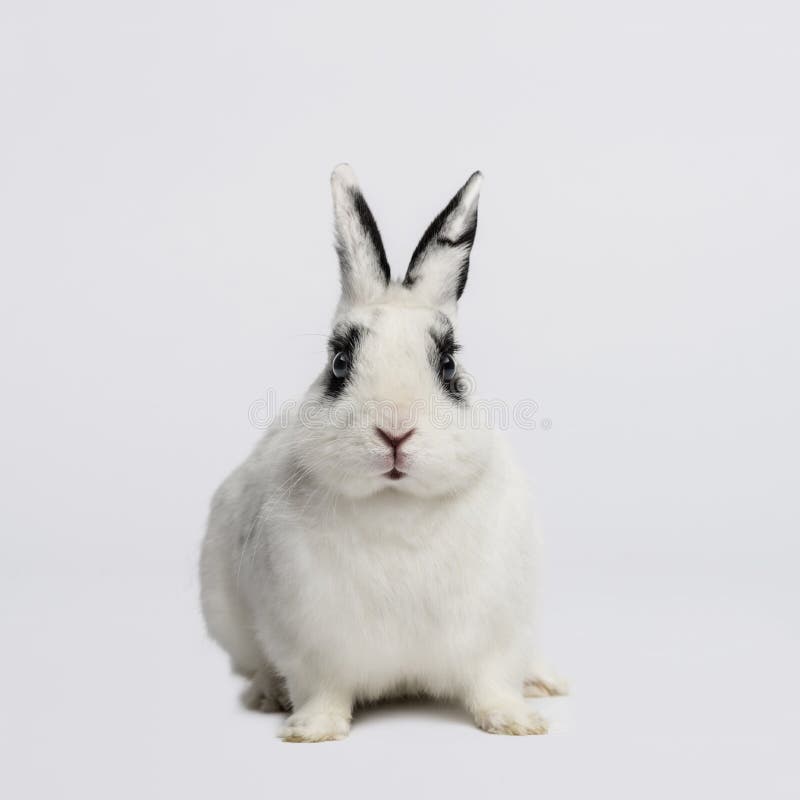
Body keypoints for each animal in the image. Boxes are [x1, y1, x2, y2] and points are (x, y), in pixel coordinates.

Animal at [200, 165, 566, 742]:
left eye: (448, 365)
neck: (398, 508)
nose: (395, 431)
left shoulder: (495, 638)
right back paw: (266, 694)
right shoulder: (309, 645)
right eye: (339, 362)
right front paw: (311, 730)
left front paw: (516, 722)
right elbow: (322, 690)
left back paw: (542, 684)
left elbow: (491, 684)